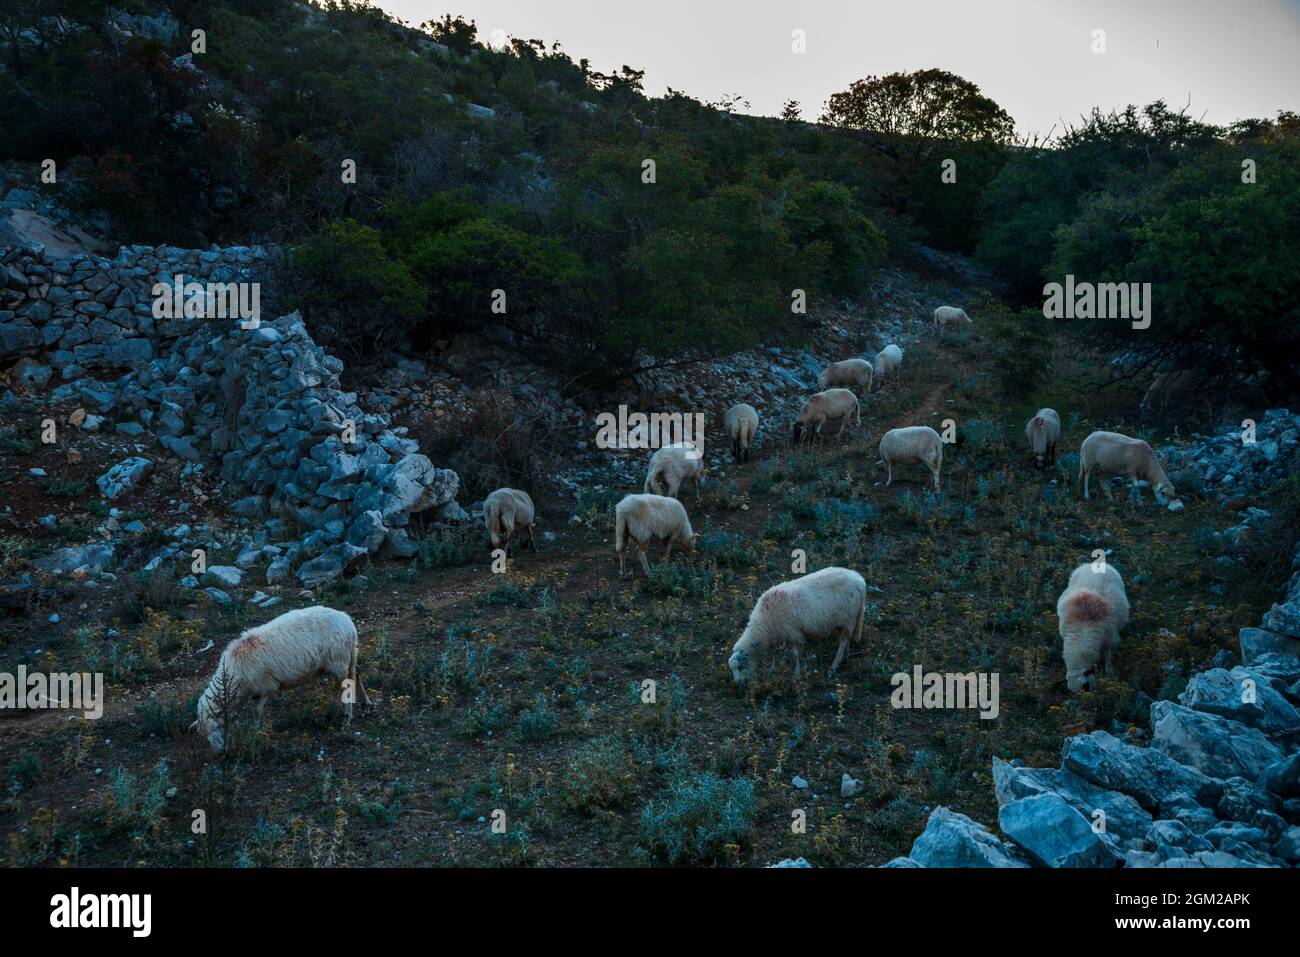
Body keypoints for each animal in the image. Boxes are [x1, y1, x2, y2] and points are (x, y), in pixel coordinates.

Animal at [191, 606, 370, 752]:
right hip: (349, 655)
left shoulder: (268, 686)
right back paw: (366, 703)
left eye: (217, 725)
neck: (234, 675)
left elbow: (258, 710)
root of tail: (346, 620)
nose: (219, 752)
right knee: (356, 674)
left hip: (337, 659)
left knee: (348, 684)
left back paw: (347, 718)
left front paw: (258, 730)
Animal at [728, 567, 867, 684]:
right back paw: (846, 657)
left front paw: (795, 676)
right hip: (845, 621)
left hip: (848, 617)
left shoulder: (793, 633)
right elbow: (775, 654)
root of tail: (860, 581)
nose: (738, 684)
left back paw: (833, 667)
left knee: (842, 643)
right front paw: (772, 669)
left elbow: (795, 655)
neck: (765, 623)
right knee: (847, 639)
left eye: (740, 667)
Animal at [1057, 562, 1130, 692]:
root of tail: (1098, 563)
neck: (1083, 629)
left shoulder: (1108, 640)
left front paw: (1107, 672)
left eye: (1085, 686)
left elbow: (1106, 658)